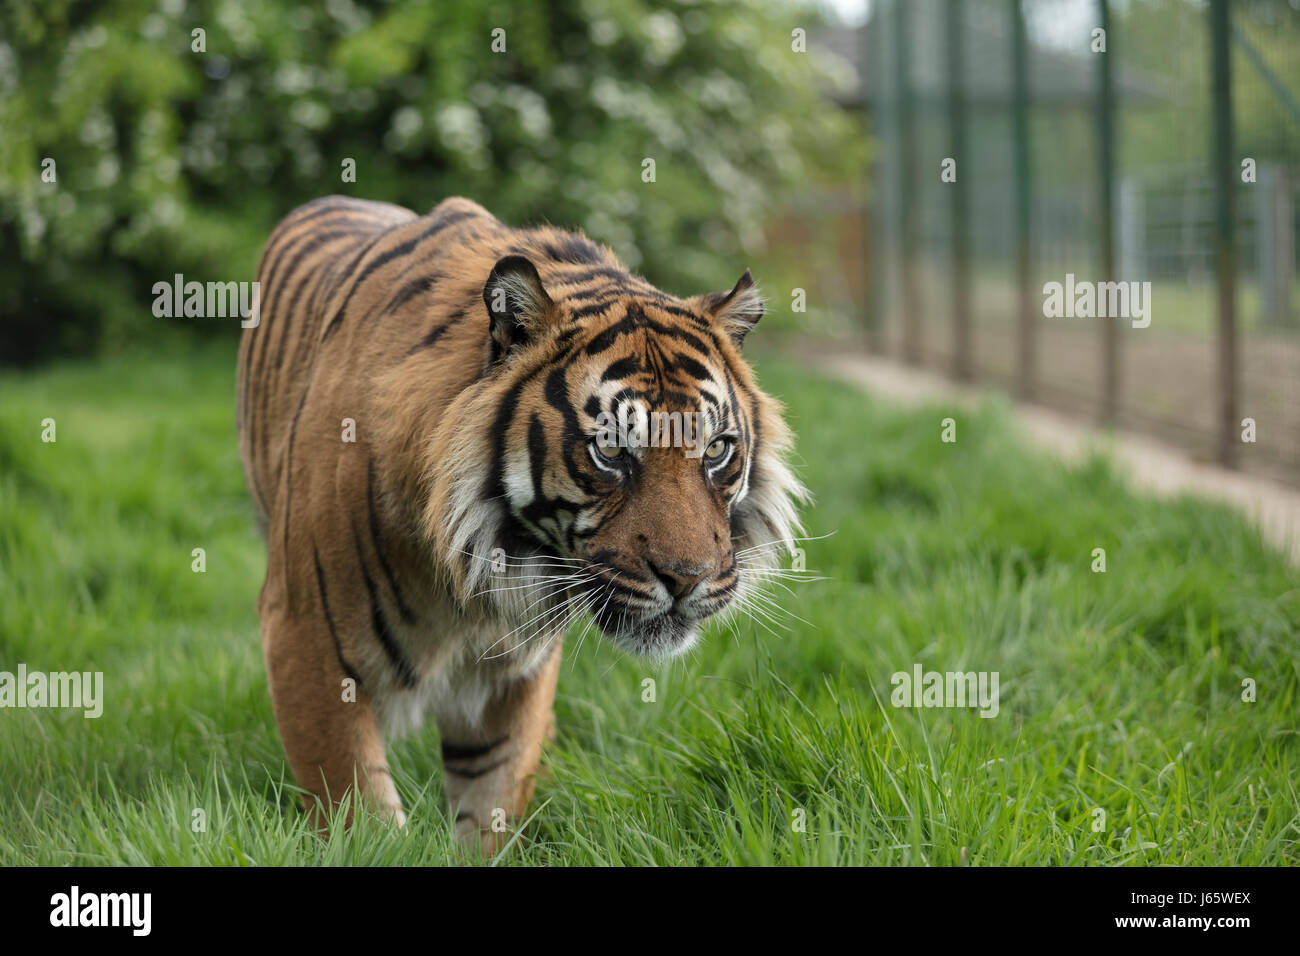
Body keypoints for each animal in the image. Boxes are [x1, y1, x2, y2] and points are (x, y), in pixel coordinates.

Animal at [236, 195, 807, 855]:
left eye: (715, 449)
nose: (688, 578)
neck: (464, 575)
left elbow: (493, 801)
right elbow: (359, 812)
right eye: (611, 450)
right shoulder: (305, 636)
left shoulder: (516, 672)